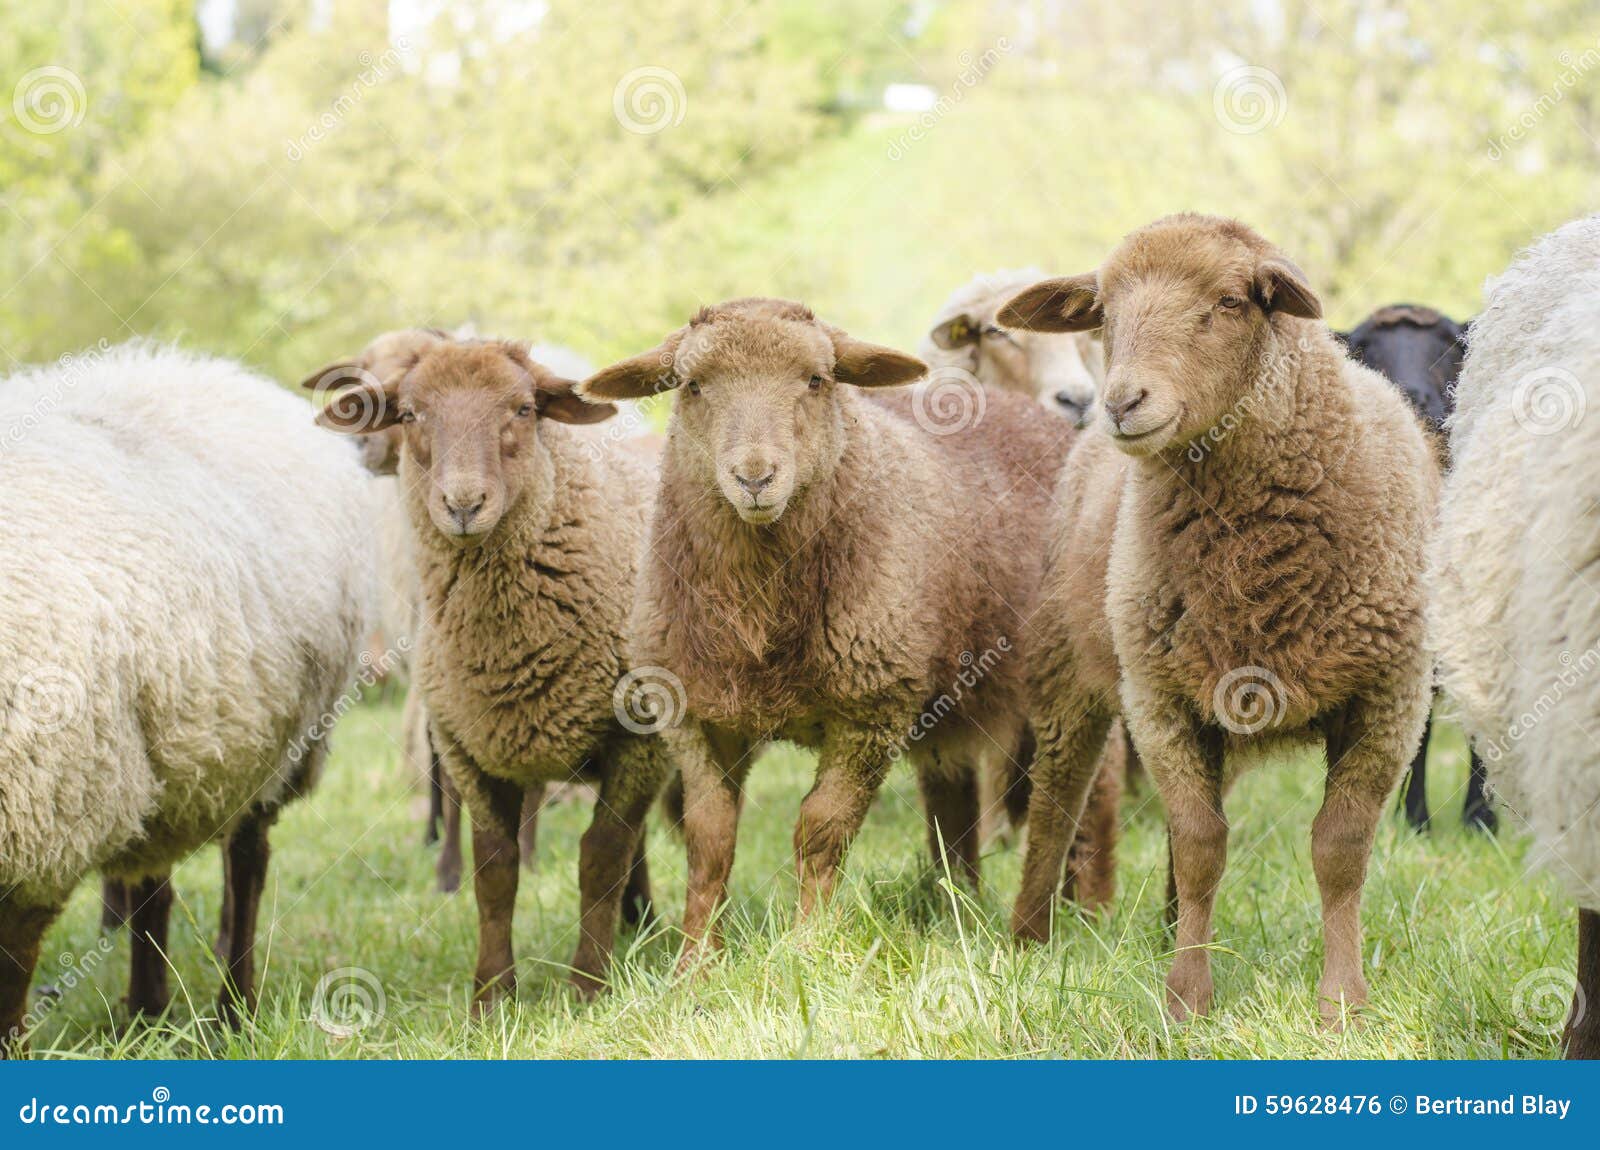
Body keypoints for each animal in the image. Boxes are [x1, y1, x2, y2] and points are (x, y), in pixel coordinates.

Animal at [0, 342, 371, 1054]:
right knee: (153, 883)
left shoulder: (41, 826)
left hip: (275, 745)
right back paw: (145, 1013)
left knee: (246, 866)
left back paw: (234, 1013)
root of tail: (211, 370)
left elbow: (9, 968)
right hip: (165, 748)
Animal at [311, 337, 669, 1006]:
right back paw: (640, 924)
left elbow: (601, 856)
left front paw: (587, 985)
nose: (463, 504)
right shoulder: (469, 744)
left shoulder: (637, 740)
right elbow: (494, 868)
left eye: (524, 409)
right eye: (410, 415)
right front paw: (492, 996)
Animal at [579, 298, 1077, 965]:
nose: (755, 477)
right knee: (951, 805)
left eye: (816, 380)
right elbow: (708, 837)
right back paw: (958, 905)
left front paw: (807, 946)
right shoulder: (697, 716)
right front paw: (696, 963)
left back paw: (1082, 907)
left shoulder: (872, 709)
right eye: (693, 385)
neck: (762, 606)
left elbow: (820, 830)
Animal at [998, 215, 1437, 1026]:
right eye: (1102, 311)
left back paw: (1168, 927)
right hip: (1067, 666)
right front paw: (1187, 1000)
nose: (1122, 401)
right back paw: (1028, 942)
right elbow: (1203, 844)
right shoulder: (1158, 697)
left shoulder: (1390, 698)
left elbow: (1339, 851)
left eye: (1232, 301)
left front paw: (1342, 1004)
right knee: (1056, 803)